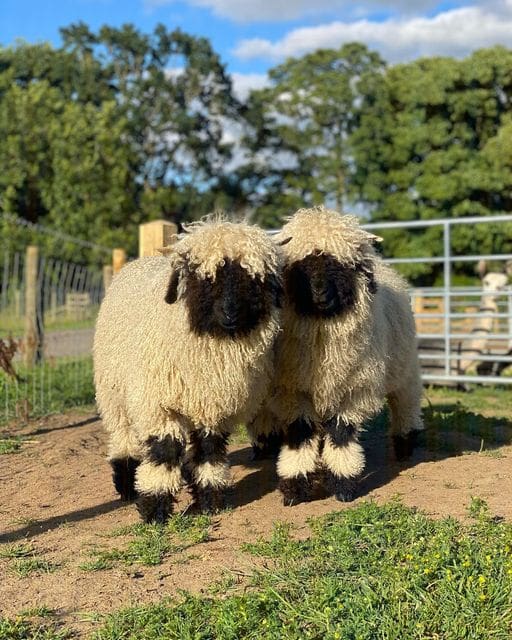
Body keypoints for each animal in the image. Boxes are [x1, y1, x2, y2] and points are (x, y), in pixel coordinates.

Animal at [93, 217, 283, 523]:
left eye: (254, 278)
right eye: (204, 277)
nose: (230, 312)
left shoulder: (213, 407)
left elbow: (209, 450)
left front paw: (209, 499)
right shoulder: (158, 404)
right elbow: (164, 451)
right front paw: (155, 509)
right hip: (114, 392)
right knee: (123, 435)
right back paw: (126, 484)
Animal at [254, 207, 424, 506]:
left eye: (342, 265)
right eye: (301, 265)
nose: (320, 292)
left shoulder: (354, 390)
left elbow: (342, 434)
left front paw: (344, 485)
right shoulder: (293, 390)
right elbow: (300, 433)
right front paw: (294, 485)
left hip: (404, 368)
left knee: (405, 402)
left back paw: (405, 443)